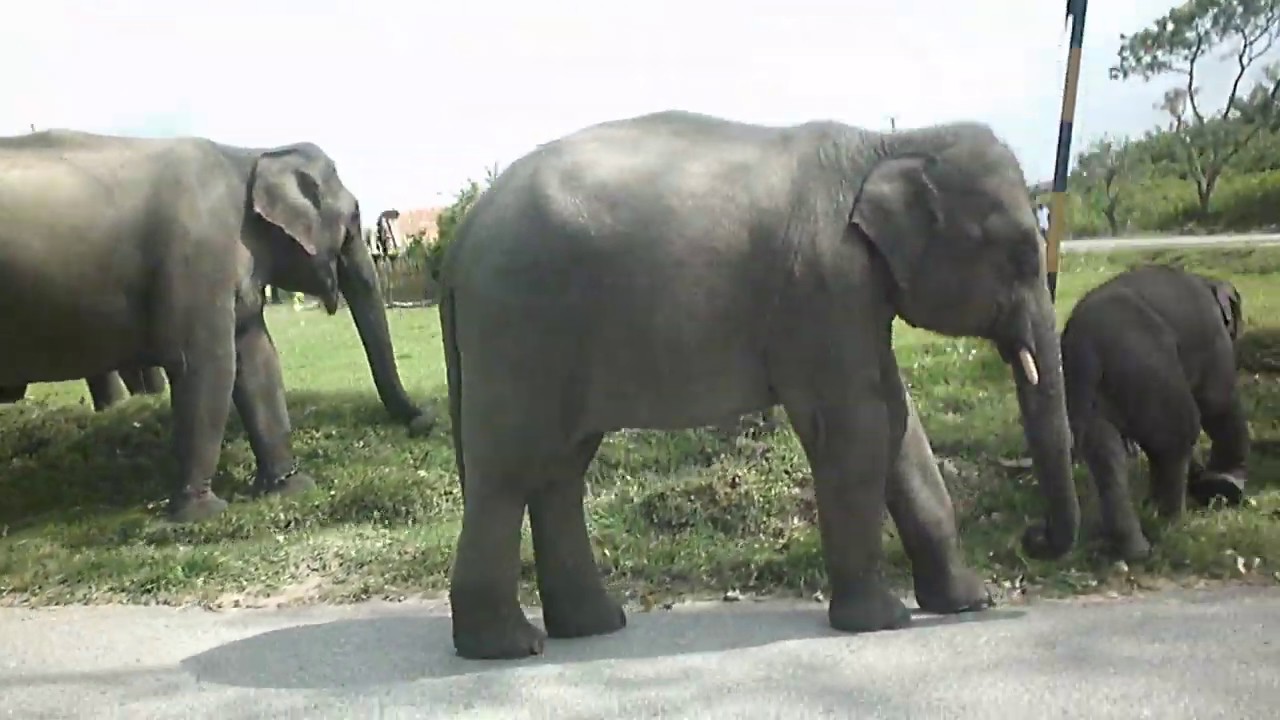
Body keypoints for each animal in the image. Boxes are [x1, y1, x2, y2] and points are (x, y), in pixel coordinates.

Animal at [0, 129, 429, 521]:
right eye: (354, 218)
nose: (423, 419)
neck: (251, 154)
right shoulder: (198, 259)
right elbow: (208, 364)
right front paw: (201, 514)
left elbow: (258, 358)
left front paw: (292, 488)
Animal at [437, 110, 1078, 660]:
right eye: (1021, 253)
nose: (1034, 538)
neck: (889, 143)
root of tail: (462, 237)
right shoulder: (824, 285)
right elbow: (857, 425)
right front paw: (881, 621)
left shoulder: (858, 292)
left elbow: (900, 422)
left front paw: (969, 603)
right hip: (518, 324)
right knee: (510, 467)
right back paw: (509, 646)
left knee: (560, 468)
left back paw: (594, 625)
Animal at [1060, 264, 1249, 561]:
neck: (1206, 281)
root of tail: (1086, 346)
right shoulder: (1212, 335)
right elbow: (1218, 402)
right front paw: (1225, 486)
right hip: (1149, 367)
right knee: (1179, 434)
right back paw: (1173, 525)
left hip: (1090, 394)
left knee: (1106, 453)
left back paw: (1136, 548)